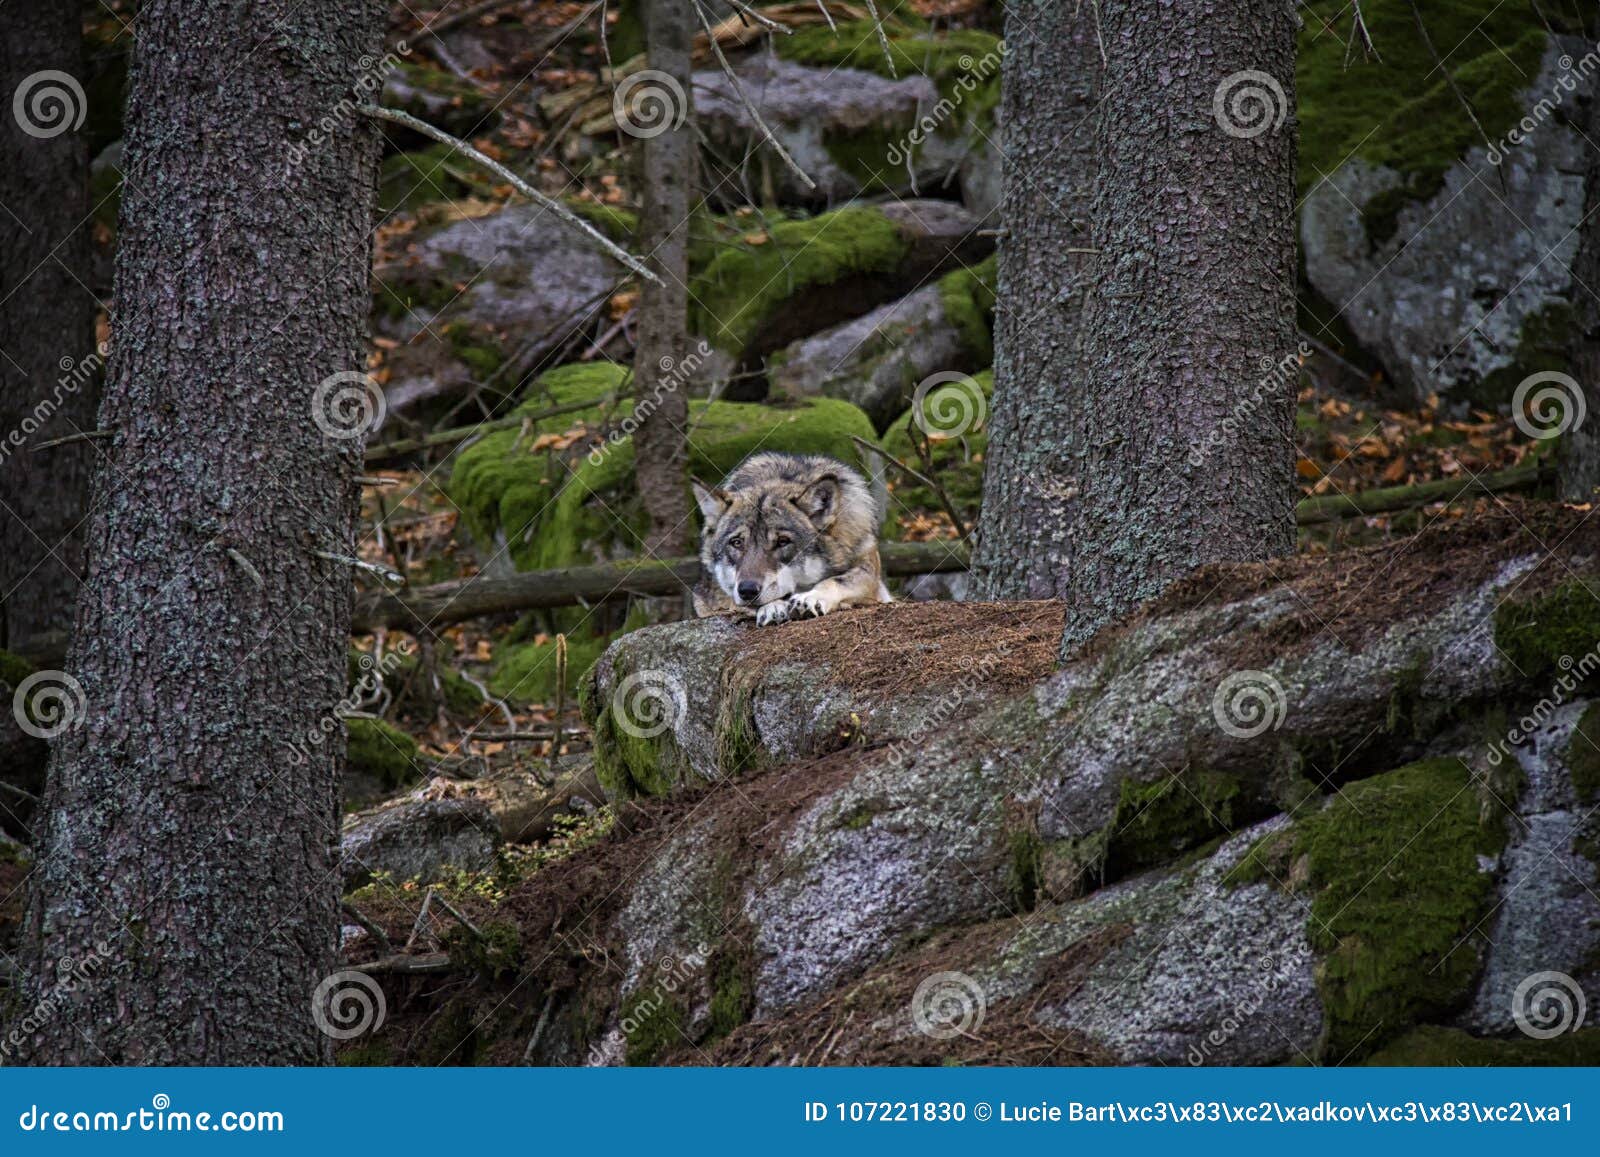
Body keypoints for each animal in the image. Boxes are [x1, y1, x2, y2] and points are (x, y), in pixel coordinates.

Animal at [691, 451, 891, 626]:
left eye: (783, 542)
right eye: (737, 543)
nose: (747, 590)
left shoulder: (868, 572)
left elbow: (835, 581)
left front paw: (811, 597)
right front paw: (773, 607)